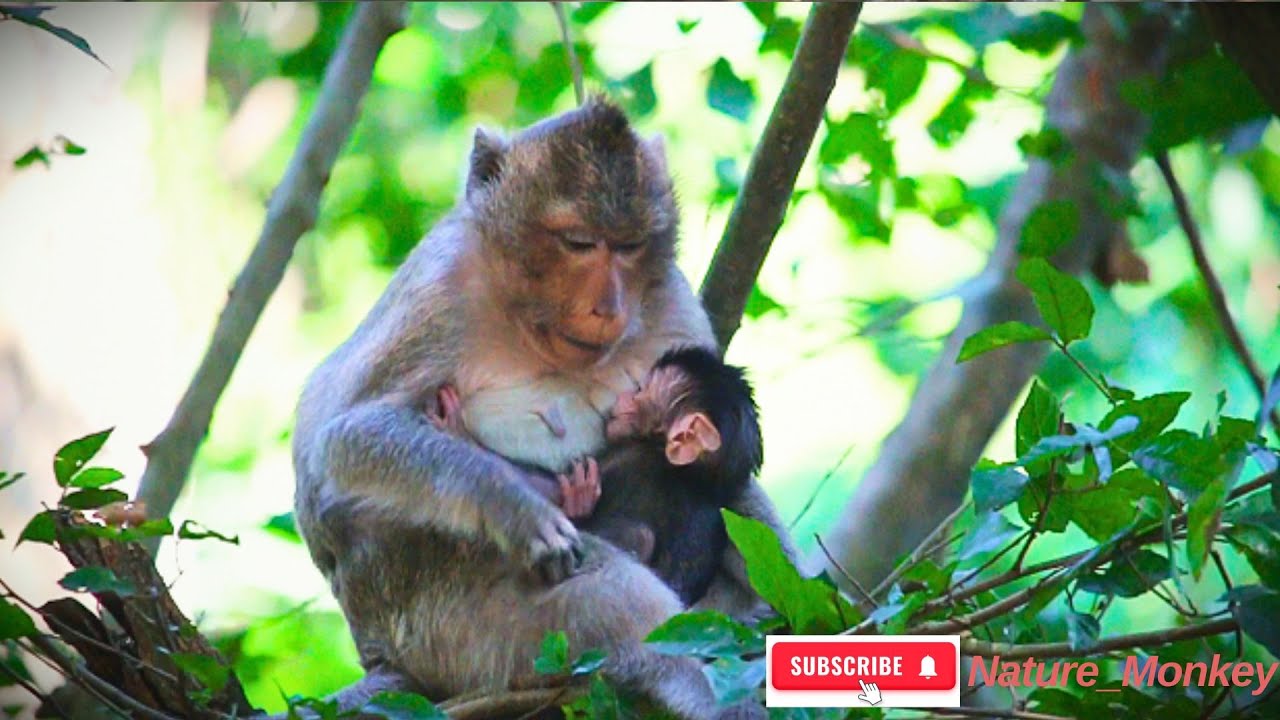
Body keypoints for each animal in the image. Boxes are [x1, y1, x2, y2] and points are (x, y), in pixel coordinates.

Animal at [431, 345, 763, 607]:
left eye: (641, 392)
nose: (625, 395)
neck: (693, 479)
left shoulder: (631, 457)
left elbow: (549, 491)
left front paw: (456, 428)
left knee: (638, 536)